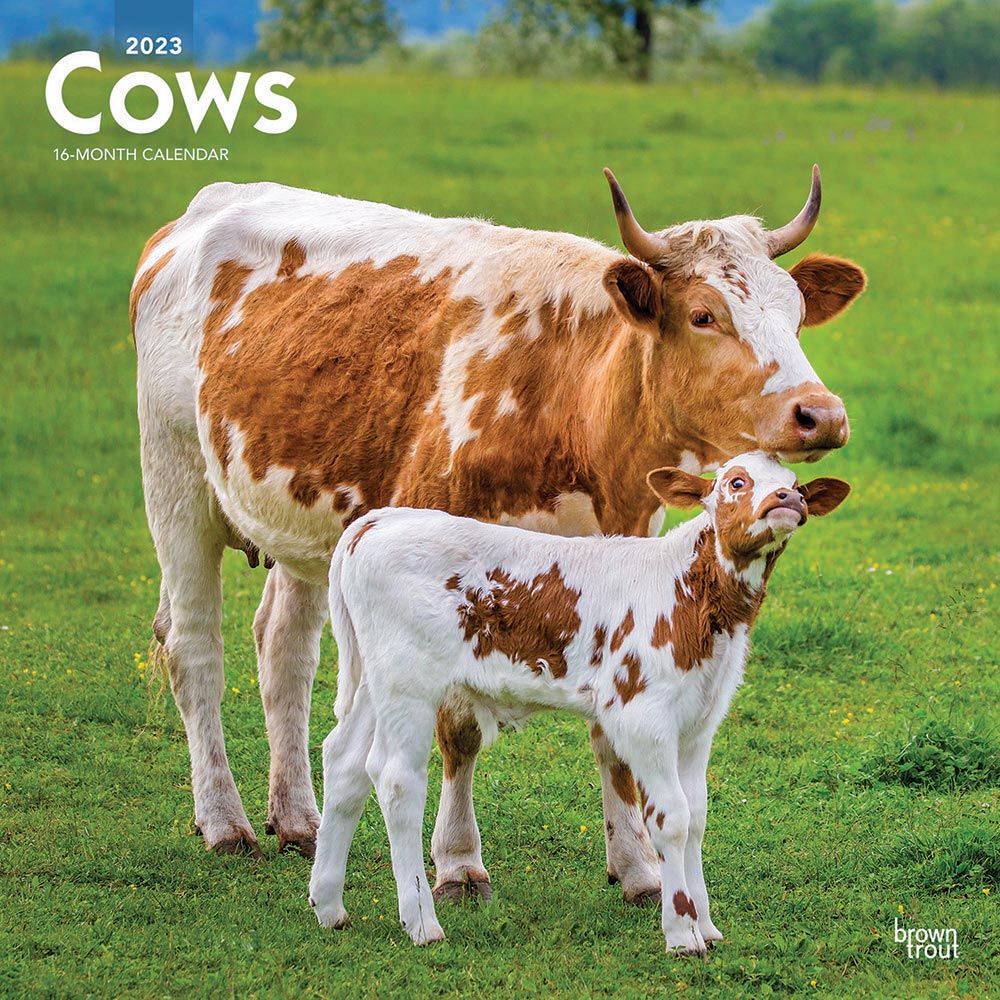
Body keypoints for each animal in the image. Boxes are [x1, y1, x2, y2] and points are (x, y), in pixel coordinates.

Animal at [308, 452, 851, 951]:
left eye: (796, 482)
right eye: (737, 481)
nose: (787, 499)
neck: (695, 597)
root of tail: (378, 522)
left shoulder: (699, 723)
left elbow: (696, 817)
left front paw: (708, 926)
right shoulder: (644, 718)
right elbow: (671, 818)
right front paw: (681, 934)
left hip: (373, 683)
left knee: (345, 764)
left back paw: (329, 906)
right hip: (409, 682)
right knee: (396, 778)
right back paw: (421, 923)